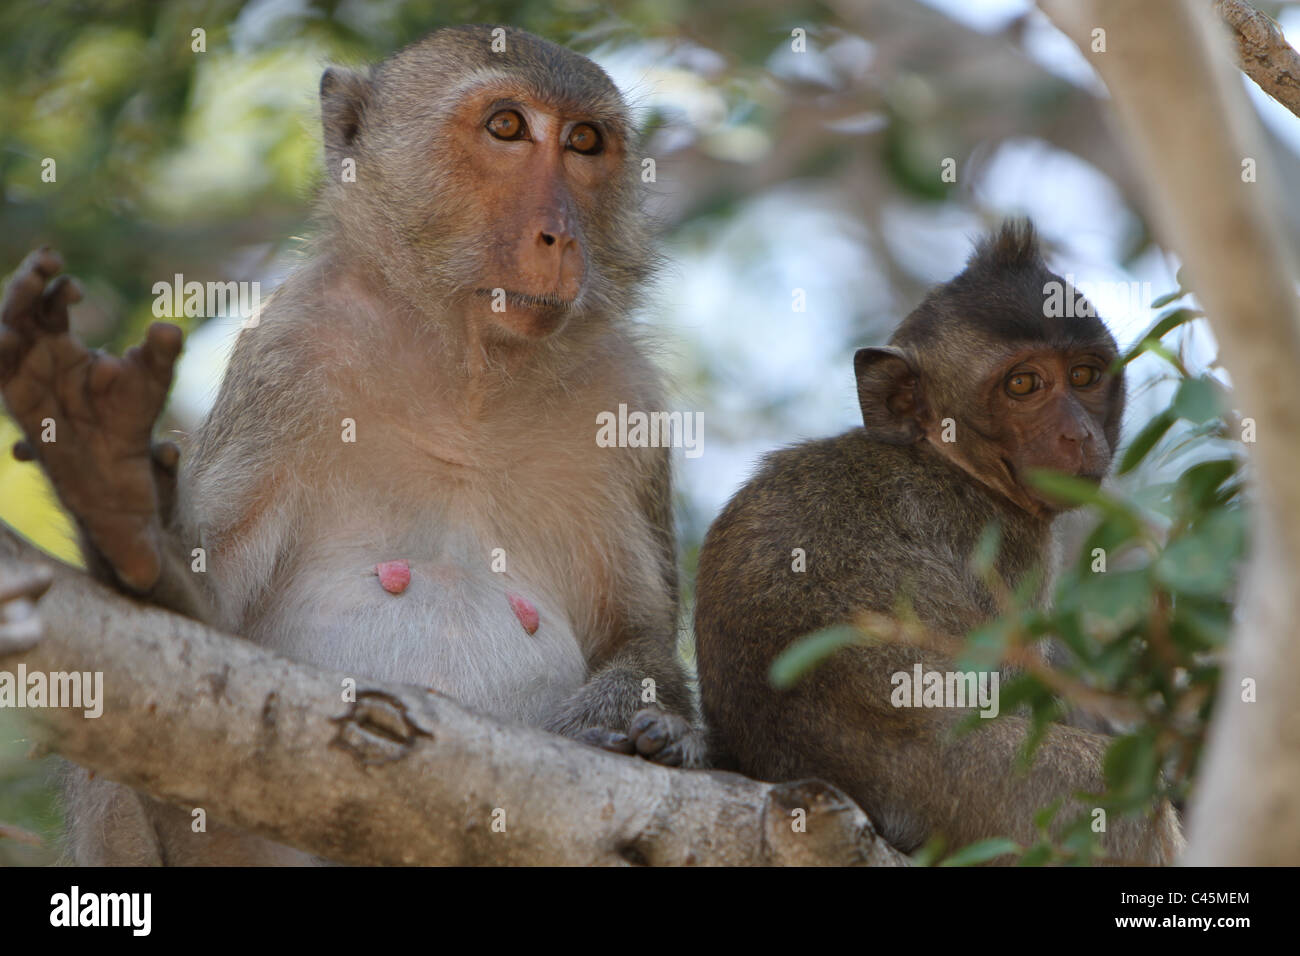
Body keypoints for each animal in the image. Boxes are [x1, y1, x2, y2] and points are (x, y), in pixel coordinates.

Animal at [0, 25, 704, 866]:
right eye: (506, 127)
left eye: (584, 142)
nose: (560, 236)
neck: (469, 383)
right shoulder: (293, 347)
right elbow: (204, 652)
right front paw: (141, 534)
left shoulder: (625, 403)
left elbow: (641, 635)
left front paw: (648, 728)